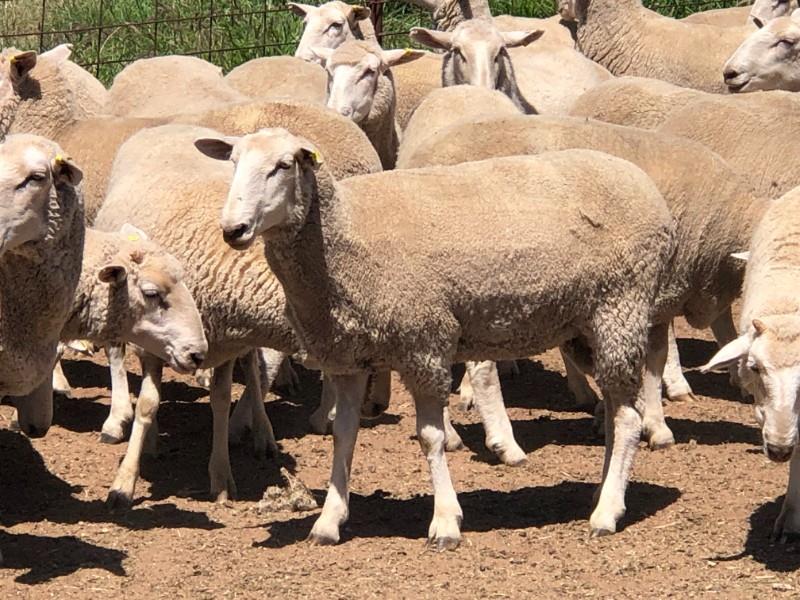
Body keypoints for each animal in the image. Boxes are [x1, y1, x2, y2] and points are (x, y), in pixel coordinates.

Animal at [93, 103, 383, 506]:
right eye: (234, 161)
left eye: (285, 164)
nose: (235, 229)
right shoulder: (155, 342)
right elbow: (149, 404)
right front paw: (124, 482)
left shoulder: (225, 346)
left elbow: (221, 399)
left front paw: (221, 476)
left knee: (255, 368)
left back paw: (262, 433)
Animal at [201, 127, 676, 546]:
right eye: (233, 162)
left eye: (283, 166)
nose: (232, 229)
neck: (345, 234)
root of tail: (644, 184)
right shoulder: (350, 359)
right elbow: (344, 436)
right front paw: (328, 521)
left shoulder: (424, 342)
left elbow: (430, 437)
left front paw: (446, 521)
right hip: (587, 326)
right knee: (616, 410)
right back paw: (603, 491)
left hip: (621, 307)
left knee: (629, 419)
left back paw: (606, 512)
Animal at [400, 113, 769, 447]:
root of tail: (418, 157)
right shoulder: (654, 294)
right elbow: (655, 362)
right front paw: (653, 425)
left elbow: (669, 354)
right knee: (480, 368)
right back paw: (498, 439)